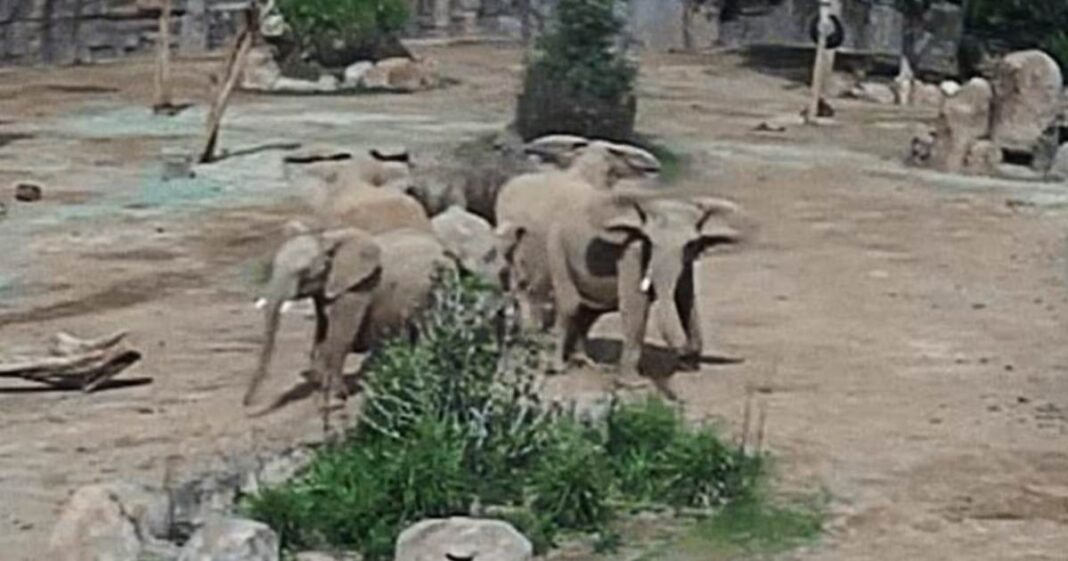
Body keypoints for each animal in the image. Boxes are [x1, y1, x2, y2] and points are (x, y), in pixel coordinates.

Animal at [245, 224, 453, 409]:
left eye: (303, 272)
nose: (247, 403)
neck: (327, 238)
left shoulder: (358, 288)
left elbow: (341, 336)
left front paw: (335, 397)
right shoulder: (326, 290)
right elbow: (322, 332)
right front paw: (319, 383)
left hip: (438, 287)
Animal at [544, 193, 746, 380]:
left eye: (690, 245)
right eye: (649, 241)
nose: (683, 351)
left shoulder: (687, 263)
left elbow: (686, 299)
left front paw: (689, 365)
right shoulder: (630, 254)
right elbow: (636, 305)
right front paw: (634, 384)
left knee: (589, 313)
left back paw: (586, 363)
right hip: (557, 251)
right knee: (570, 306)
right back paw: (559, 369)